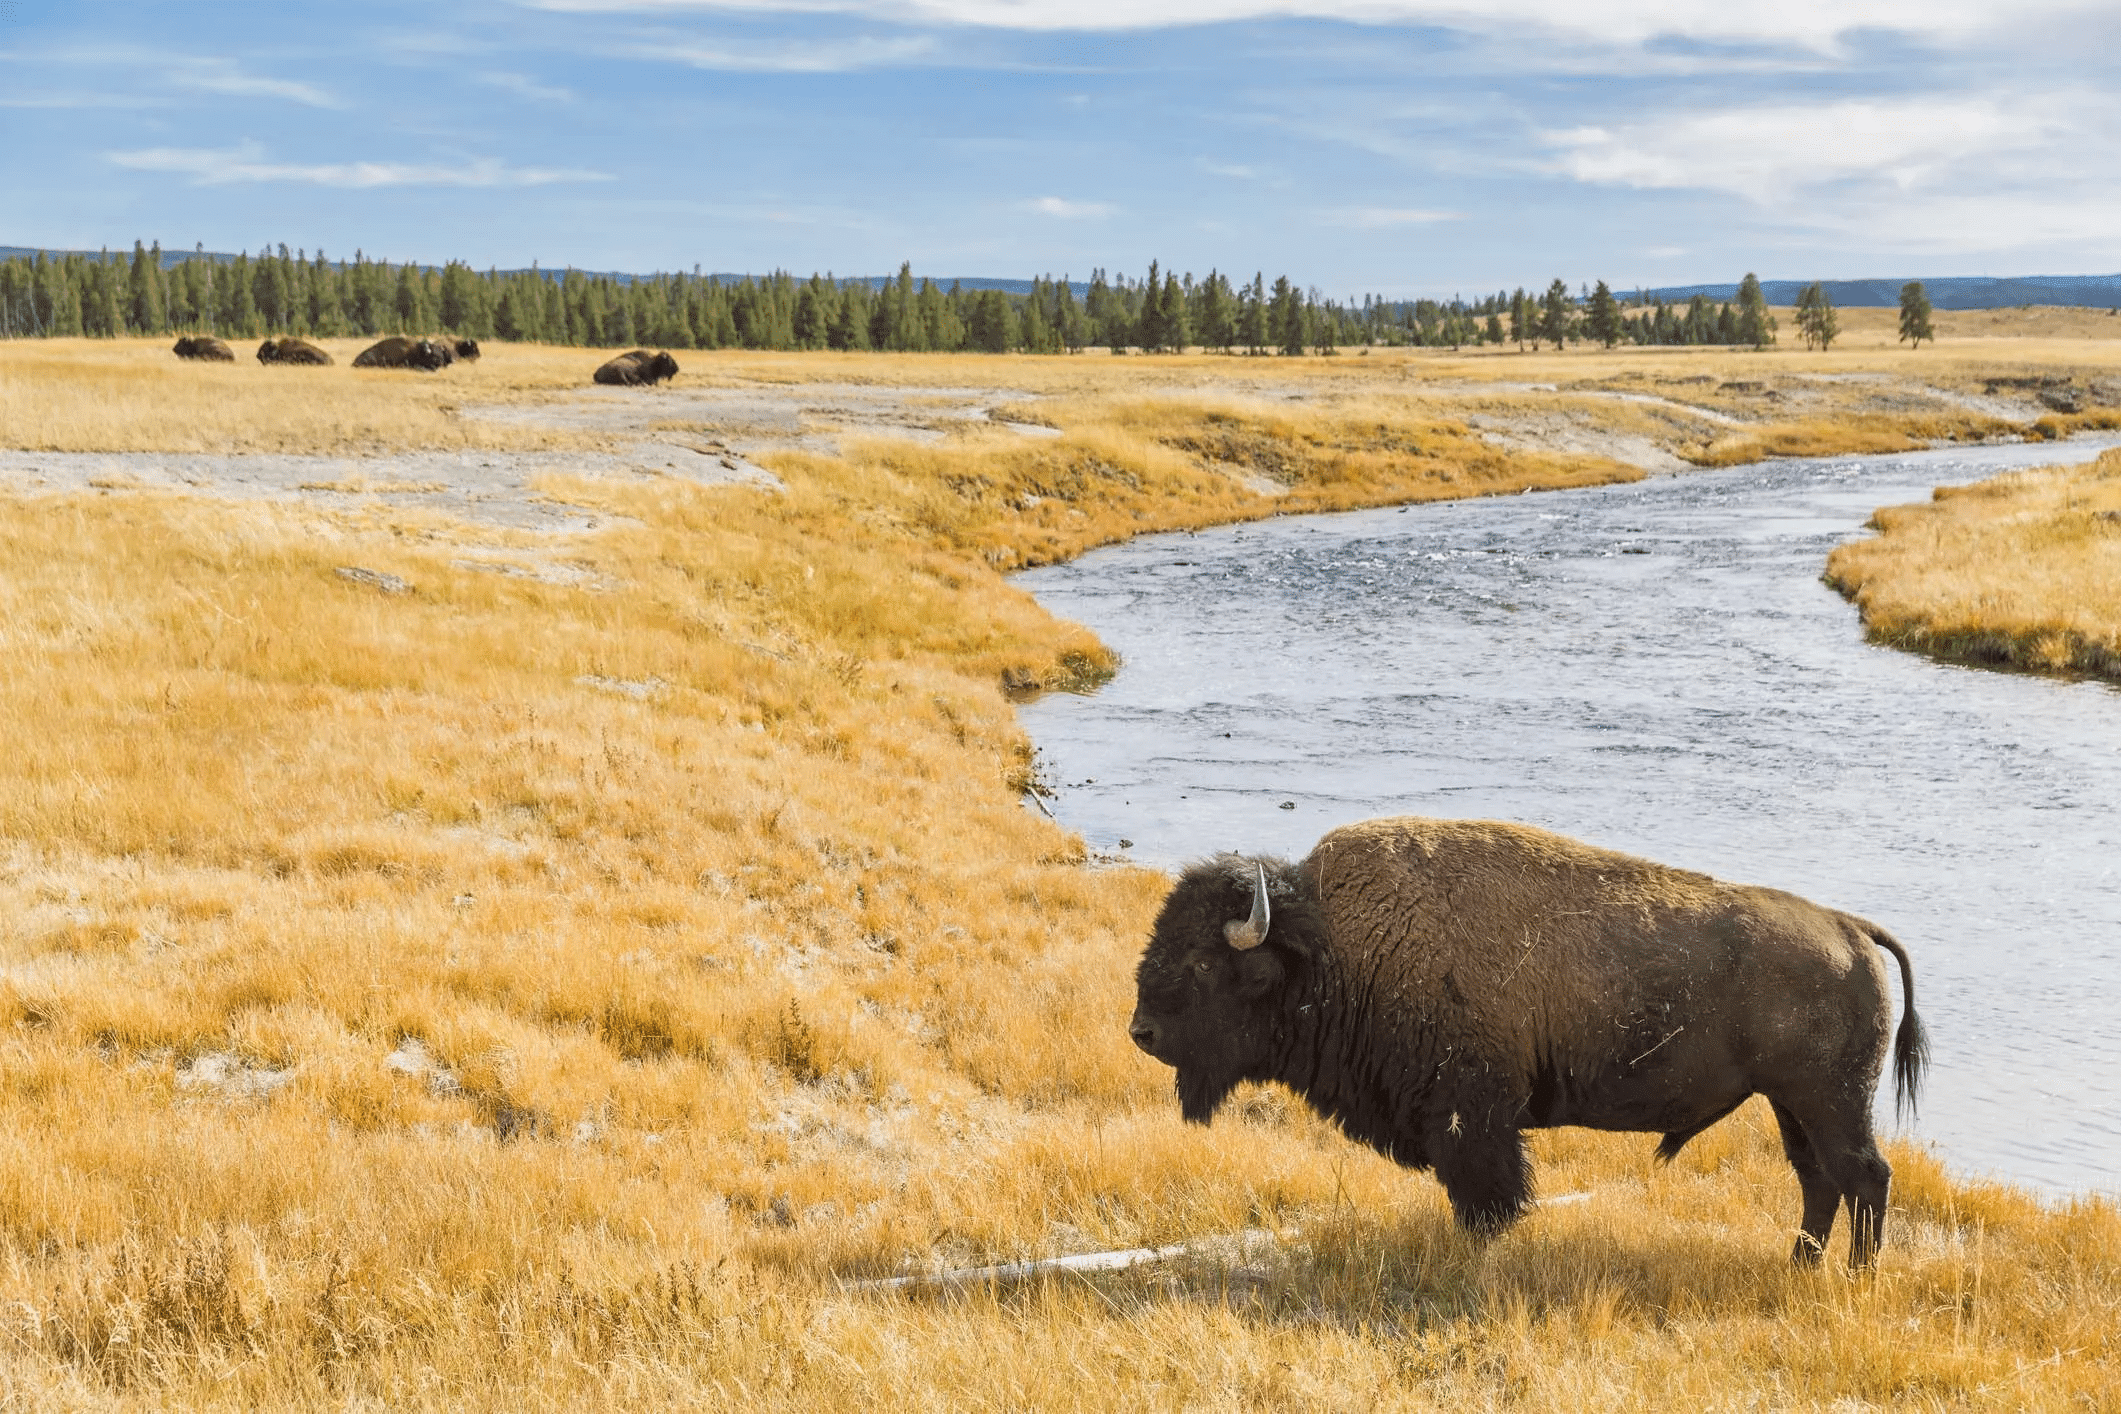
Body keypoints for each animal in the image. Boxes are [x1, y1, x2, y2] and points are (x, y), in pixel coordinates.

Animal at [1129, 816, 1927, 1268]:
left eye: (1202, 963)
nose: (1141, 1032)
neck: (1335, 945)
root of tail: (1849, 928)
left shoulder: (1471, 1121)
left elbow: (1488, 1199)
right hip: (1791, 1104)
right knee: (1819, 1180)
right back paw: (1801, 1266)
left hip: (1829, 1101)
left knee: (1864, 1177)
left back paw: (1855, 1276)